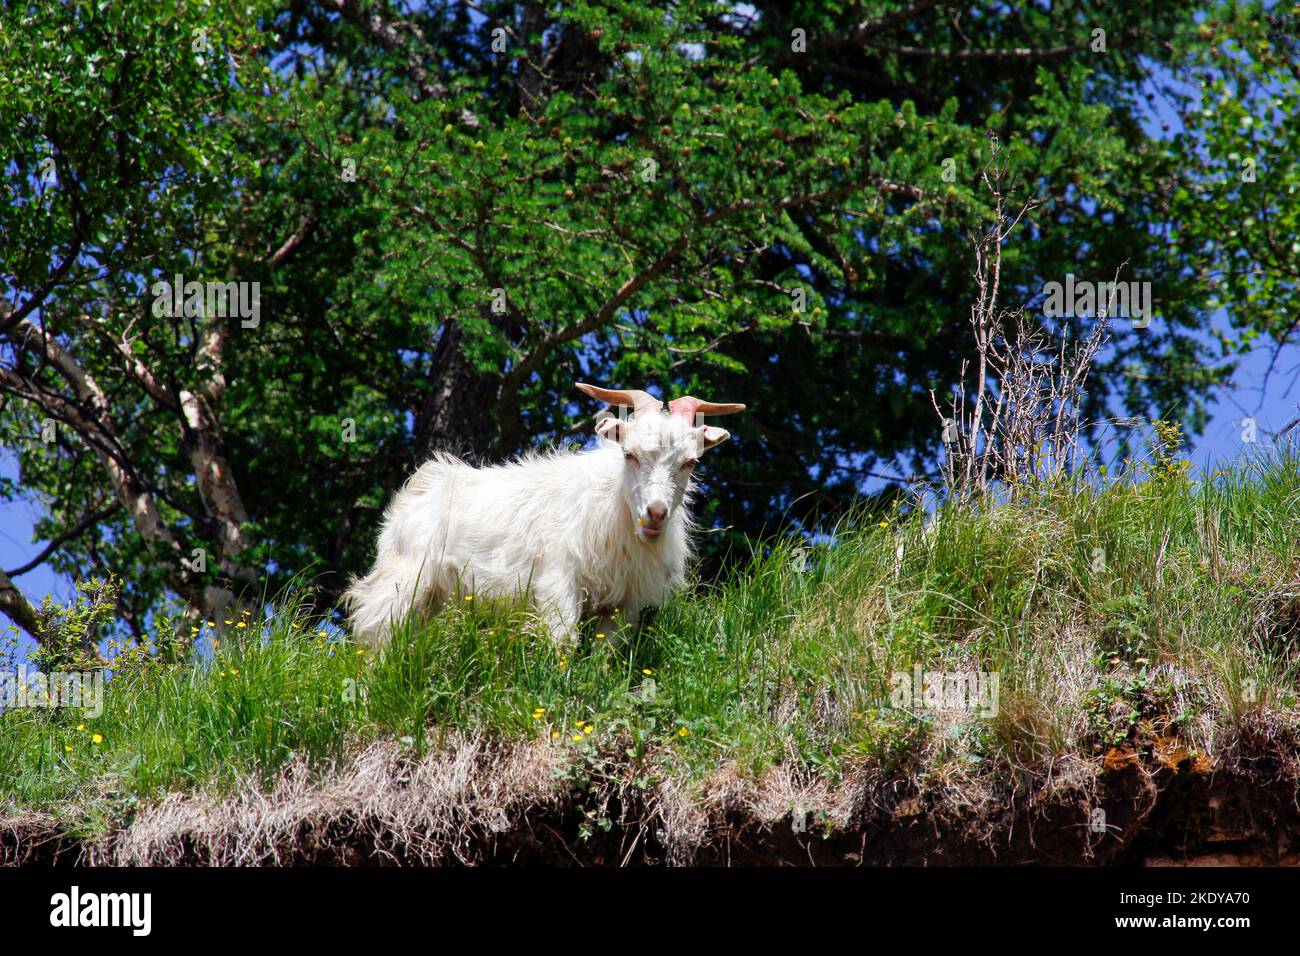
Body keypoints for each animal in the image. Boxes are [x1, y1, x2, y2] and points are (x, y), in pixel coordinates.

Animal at [344, 382, 745, 647]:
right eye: (629, 454)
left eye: (690, 462)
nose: (656, 514)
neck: (612, 504)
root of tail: (422, 485)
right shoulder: (558, 582)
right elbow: (563, 643)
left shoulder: (622, 606)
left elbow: (604, 656)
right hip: (404, 579)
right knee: (377, 633)